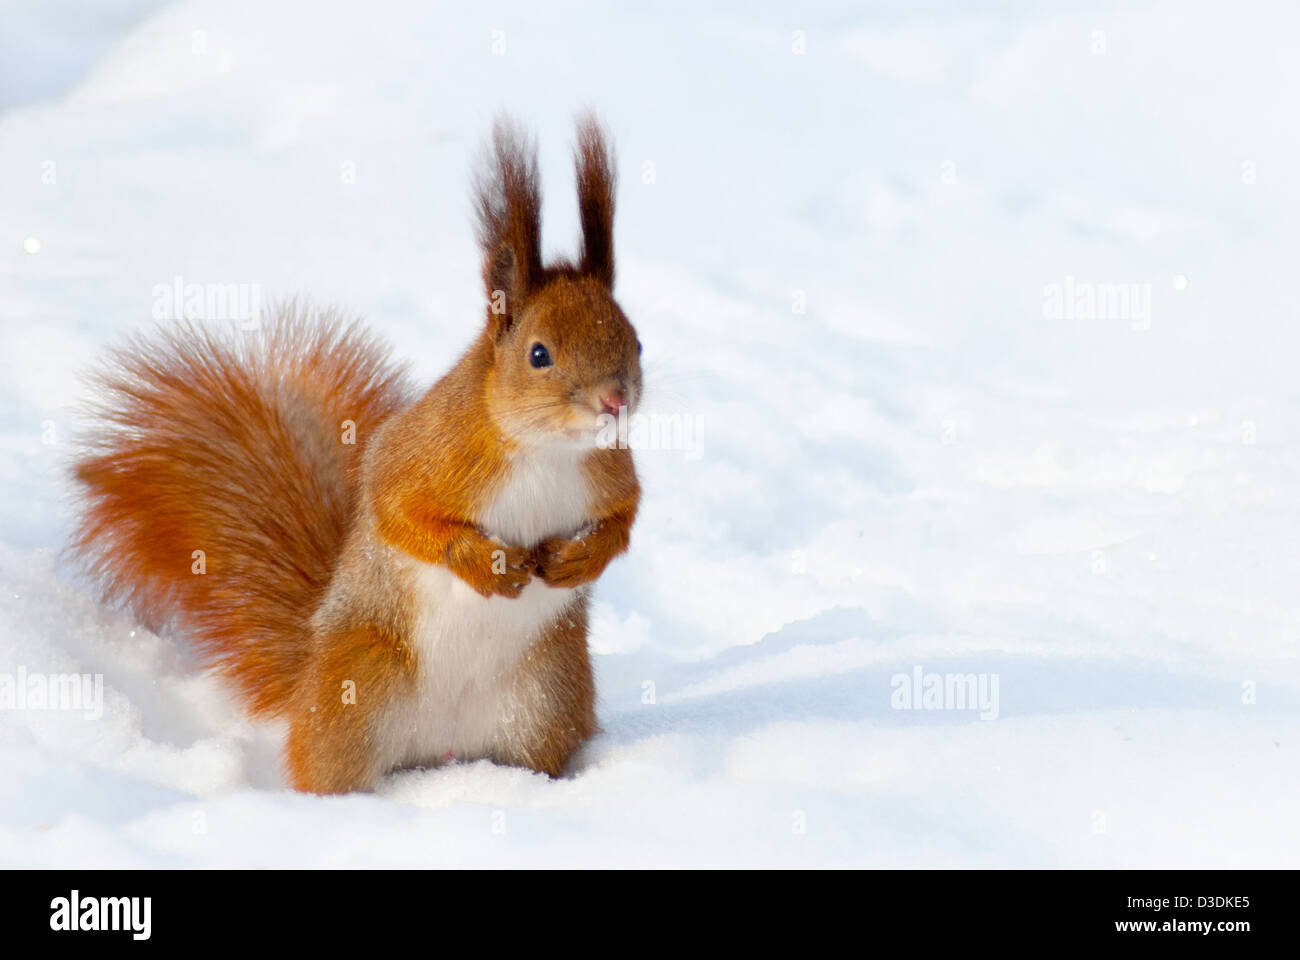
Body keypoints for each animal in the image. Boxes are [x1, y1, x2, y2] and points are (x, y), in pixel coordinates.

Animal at [69, 117, 642, 794]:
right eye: (539, 354)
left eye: (635, 339)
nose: (615, 399)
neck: (546, 449)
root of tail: (442, 748)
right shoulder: (425, 455)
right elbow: (400, 512)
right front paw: (486, 564)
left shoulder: (612, 472)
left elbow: (623, 520)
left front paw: (580, 558)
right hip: (361, 684)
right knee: (329, 767)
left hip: (546, 696)